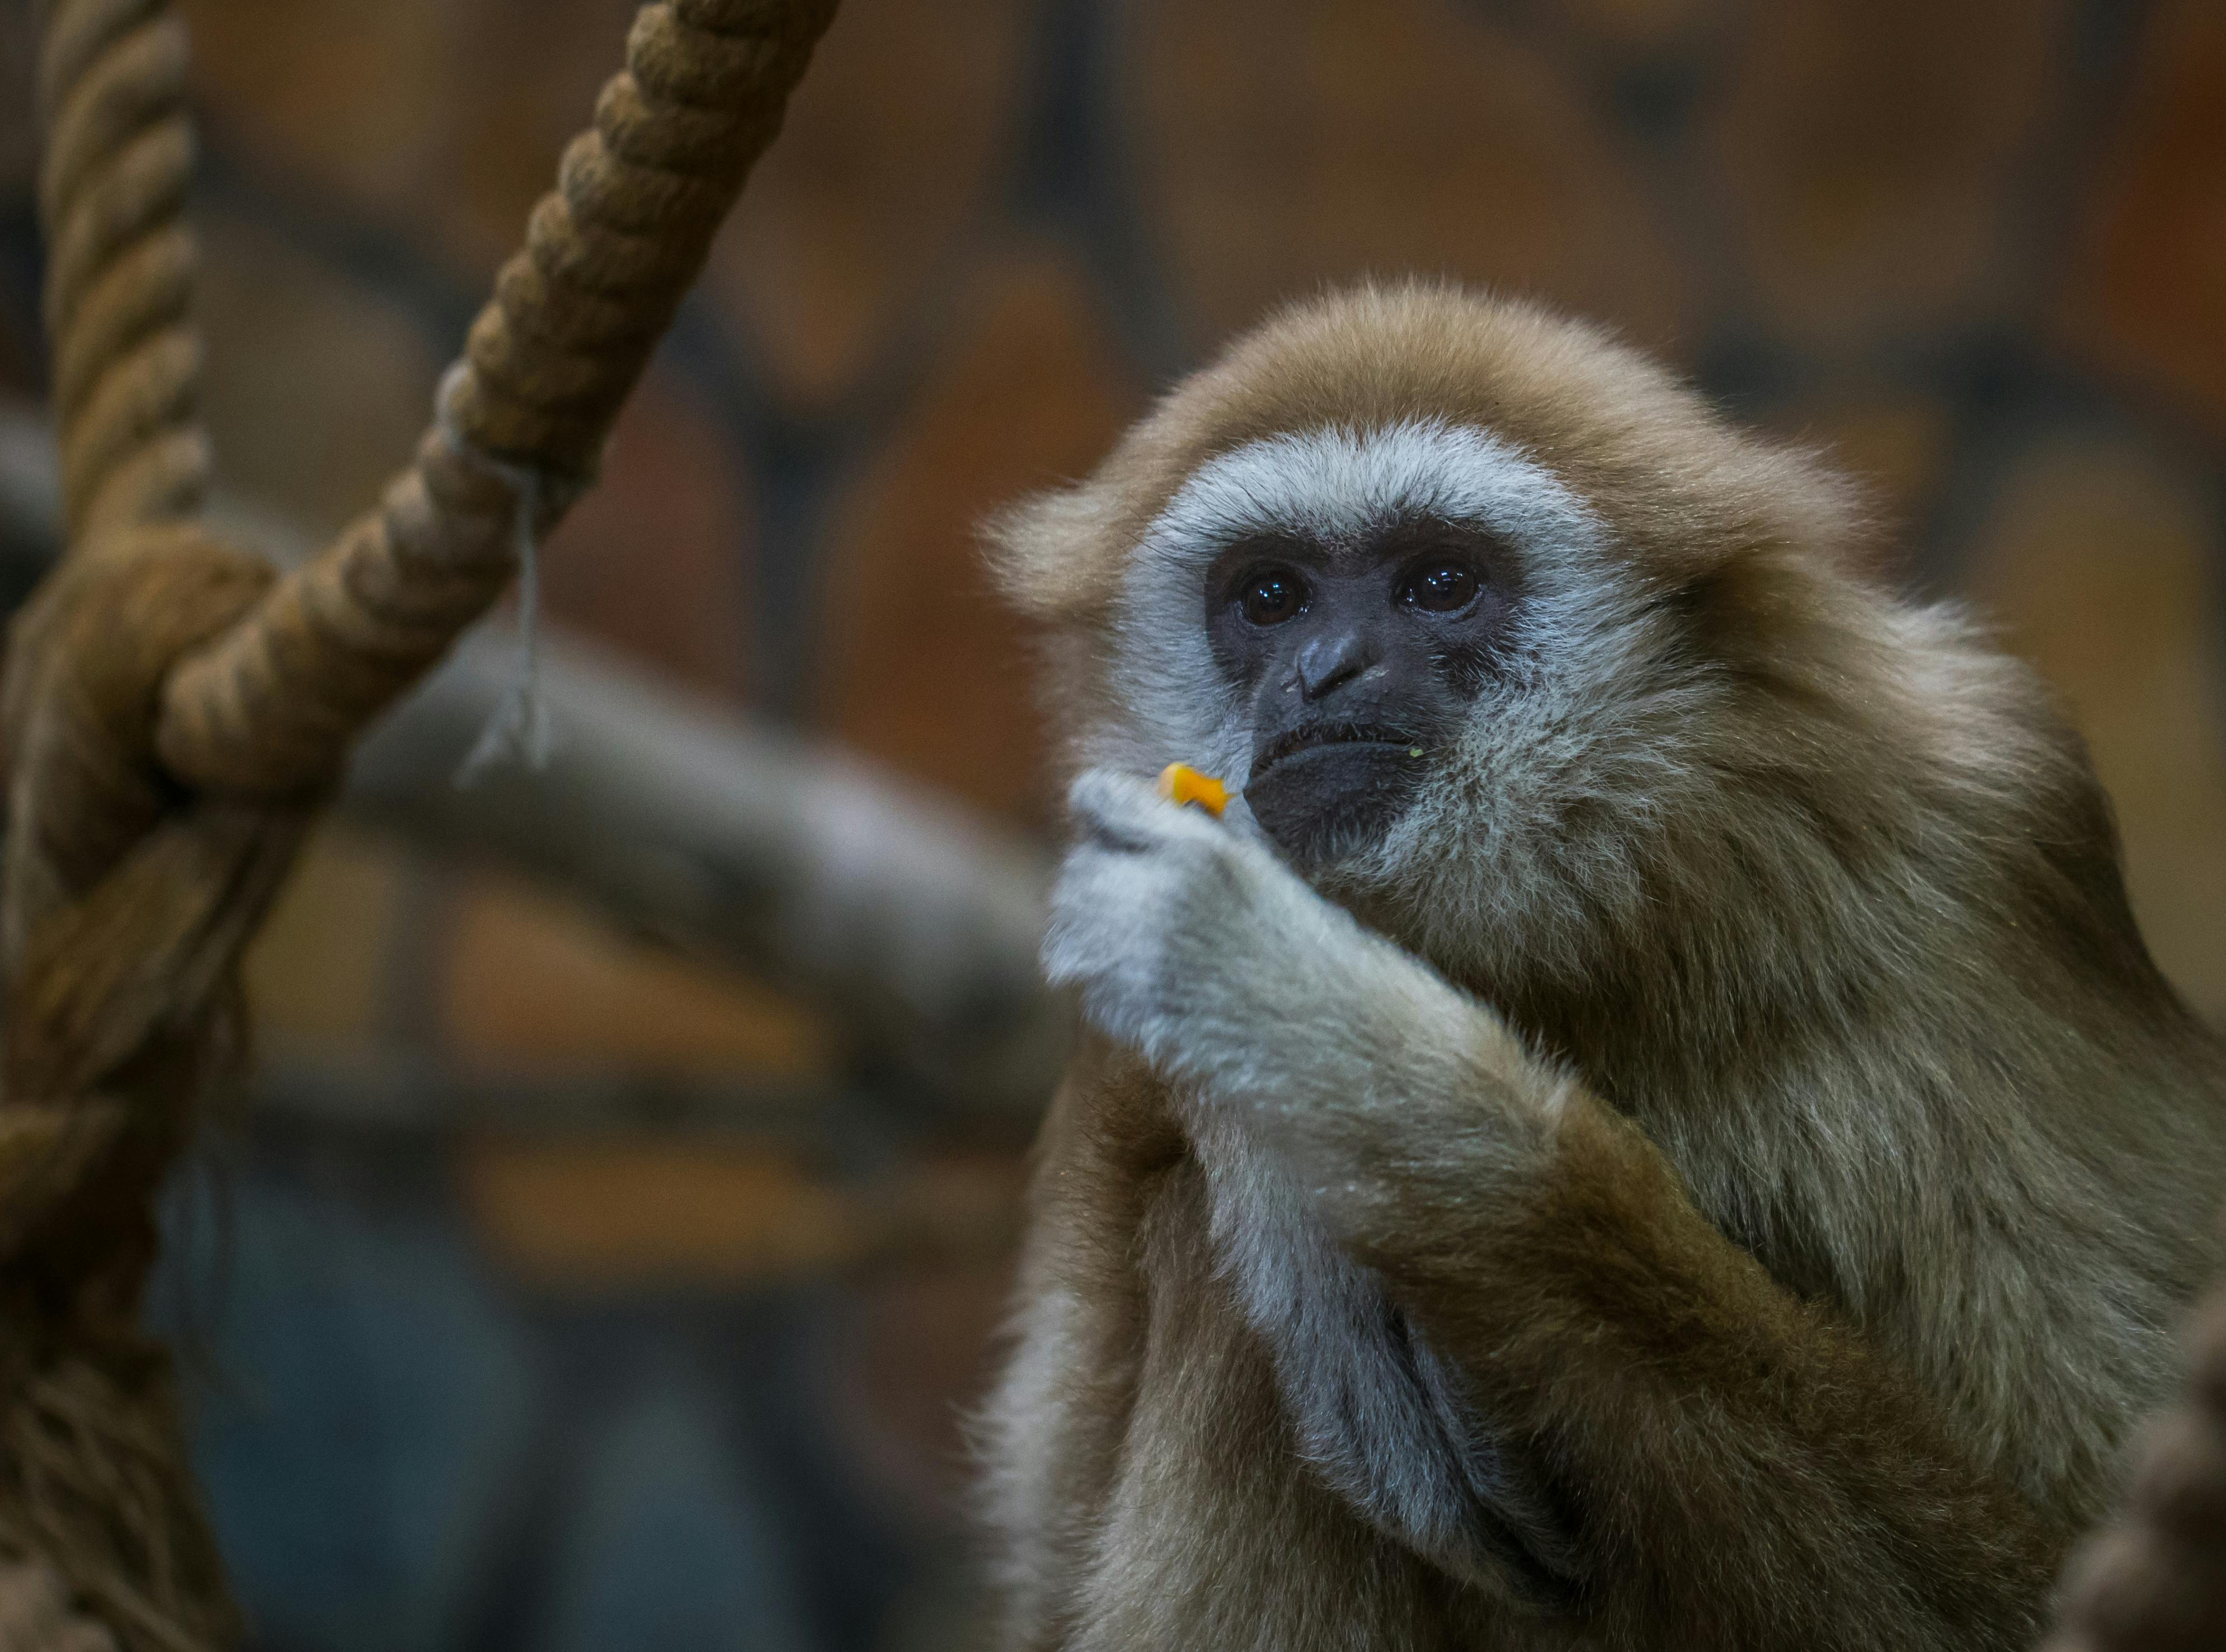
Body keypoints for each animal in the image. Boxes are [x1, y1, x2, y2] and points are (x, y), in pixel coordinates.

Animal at [973, 282, 2226, 1651]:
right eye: (1269, 597)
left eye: (1441, 583)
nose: (1323, 670)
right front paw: (1270, 1155)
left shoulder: (1977, 844)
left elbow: (2044, 1567)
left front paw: (1336, 1052)